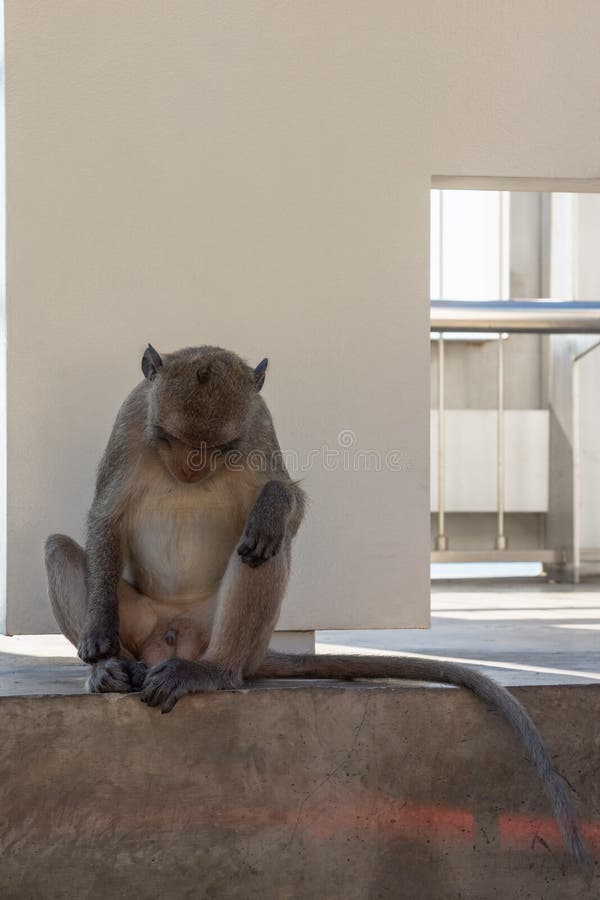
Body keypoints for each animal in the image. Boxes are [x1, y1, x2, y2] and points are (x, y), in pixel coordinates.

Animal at [44, 344, 589, 865]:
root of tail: (179, 643)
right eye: (173, 439)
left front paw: (273, 501)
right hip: (146, 626)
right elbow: (106, 517)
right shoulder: (130, 422)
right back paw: (112, 668)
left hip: (226, 634)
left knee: (264, 549)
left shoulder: (259, 428)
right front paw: (99, 634)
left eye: (219, 448)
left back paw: (212, 671)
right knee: (58, 548)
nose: (190, 469)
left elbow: (286, 504)